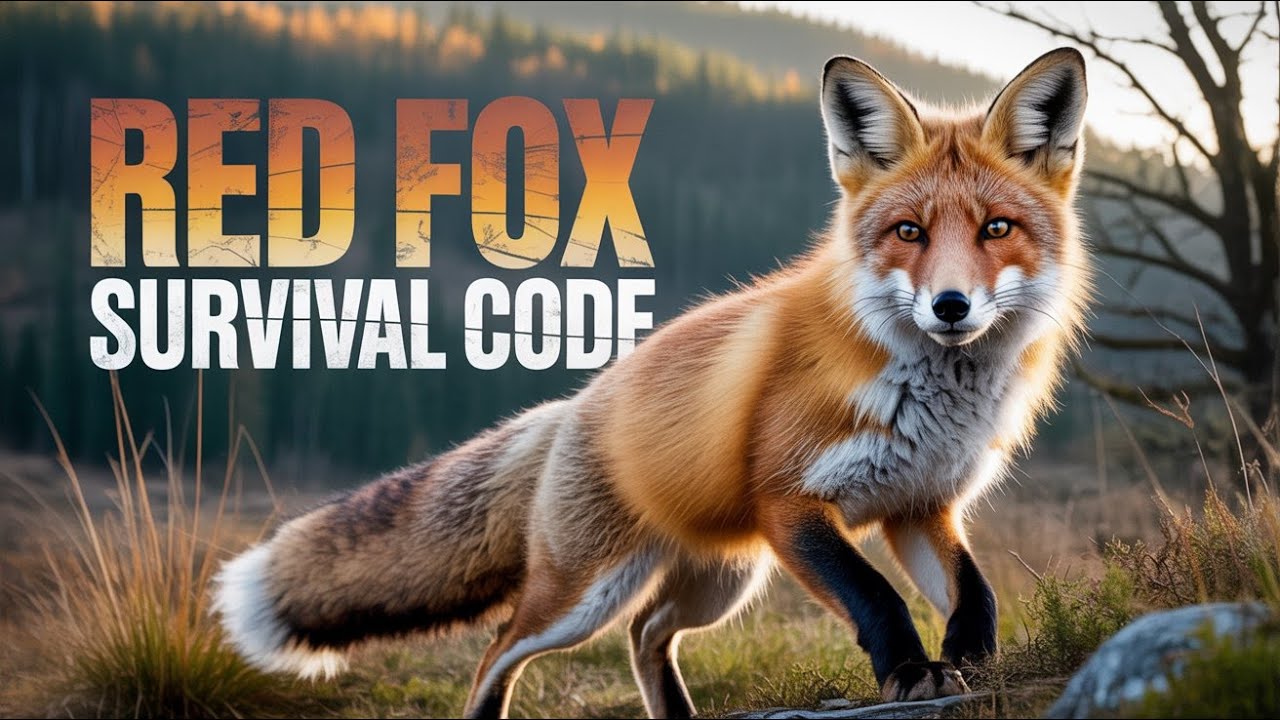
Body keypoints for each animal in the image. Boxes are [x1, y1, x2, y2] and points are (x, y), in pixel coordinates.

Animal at [214, 48, 1091, 718]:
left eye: (996, 229)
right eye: (909, 232)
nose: (951, 306)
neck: (931, 394)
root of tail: (572, 406)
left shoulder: (919, 504)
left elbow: (975, 590)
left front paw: (975, 663)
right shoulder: (792, 502)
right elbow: (875, 595)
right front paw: (911, 672)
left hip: (724, 576)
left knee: (647, 636)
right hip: (586, 594)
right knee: (501, 645)